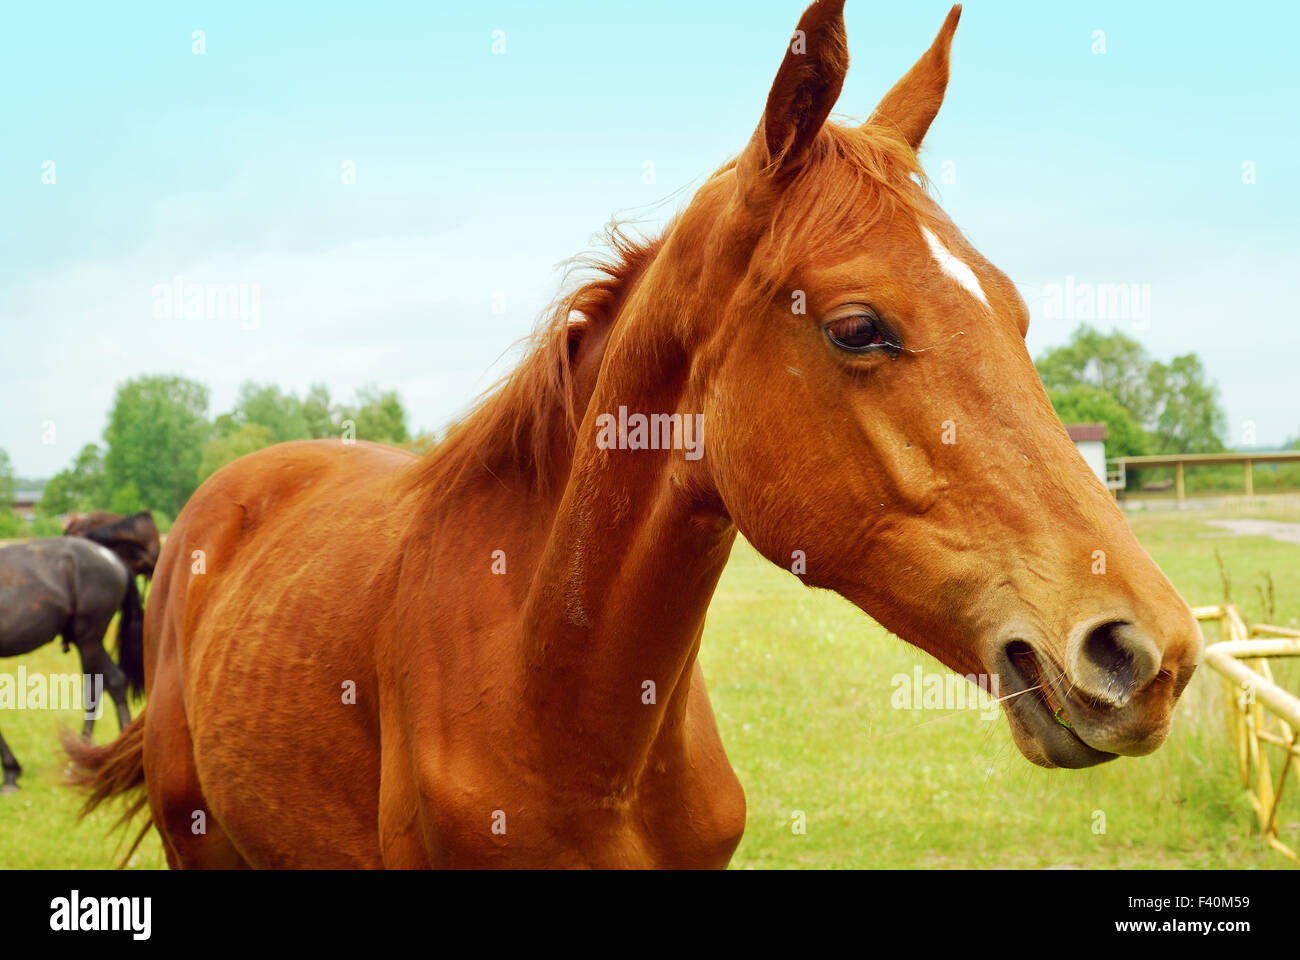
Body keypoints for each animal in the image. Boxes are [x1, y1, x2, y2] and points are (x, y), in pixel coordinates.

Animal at [0, 538, 145, 793]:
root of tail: (112, 558)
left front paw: (10, 773)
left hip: (89, 638)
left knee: (109, 683)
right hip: (86, 640)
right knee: (104, 684)